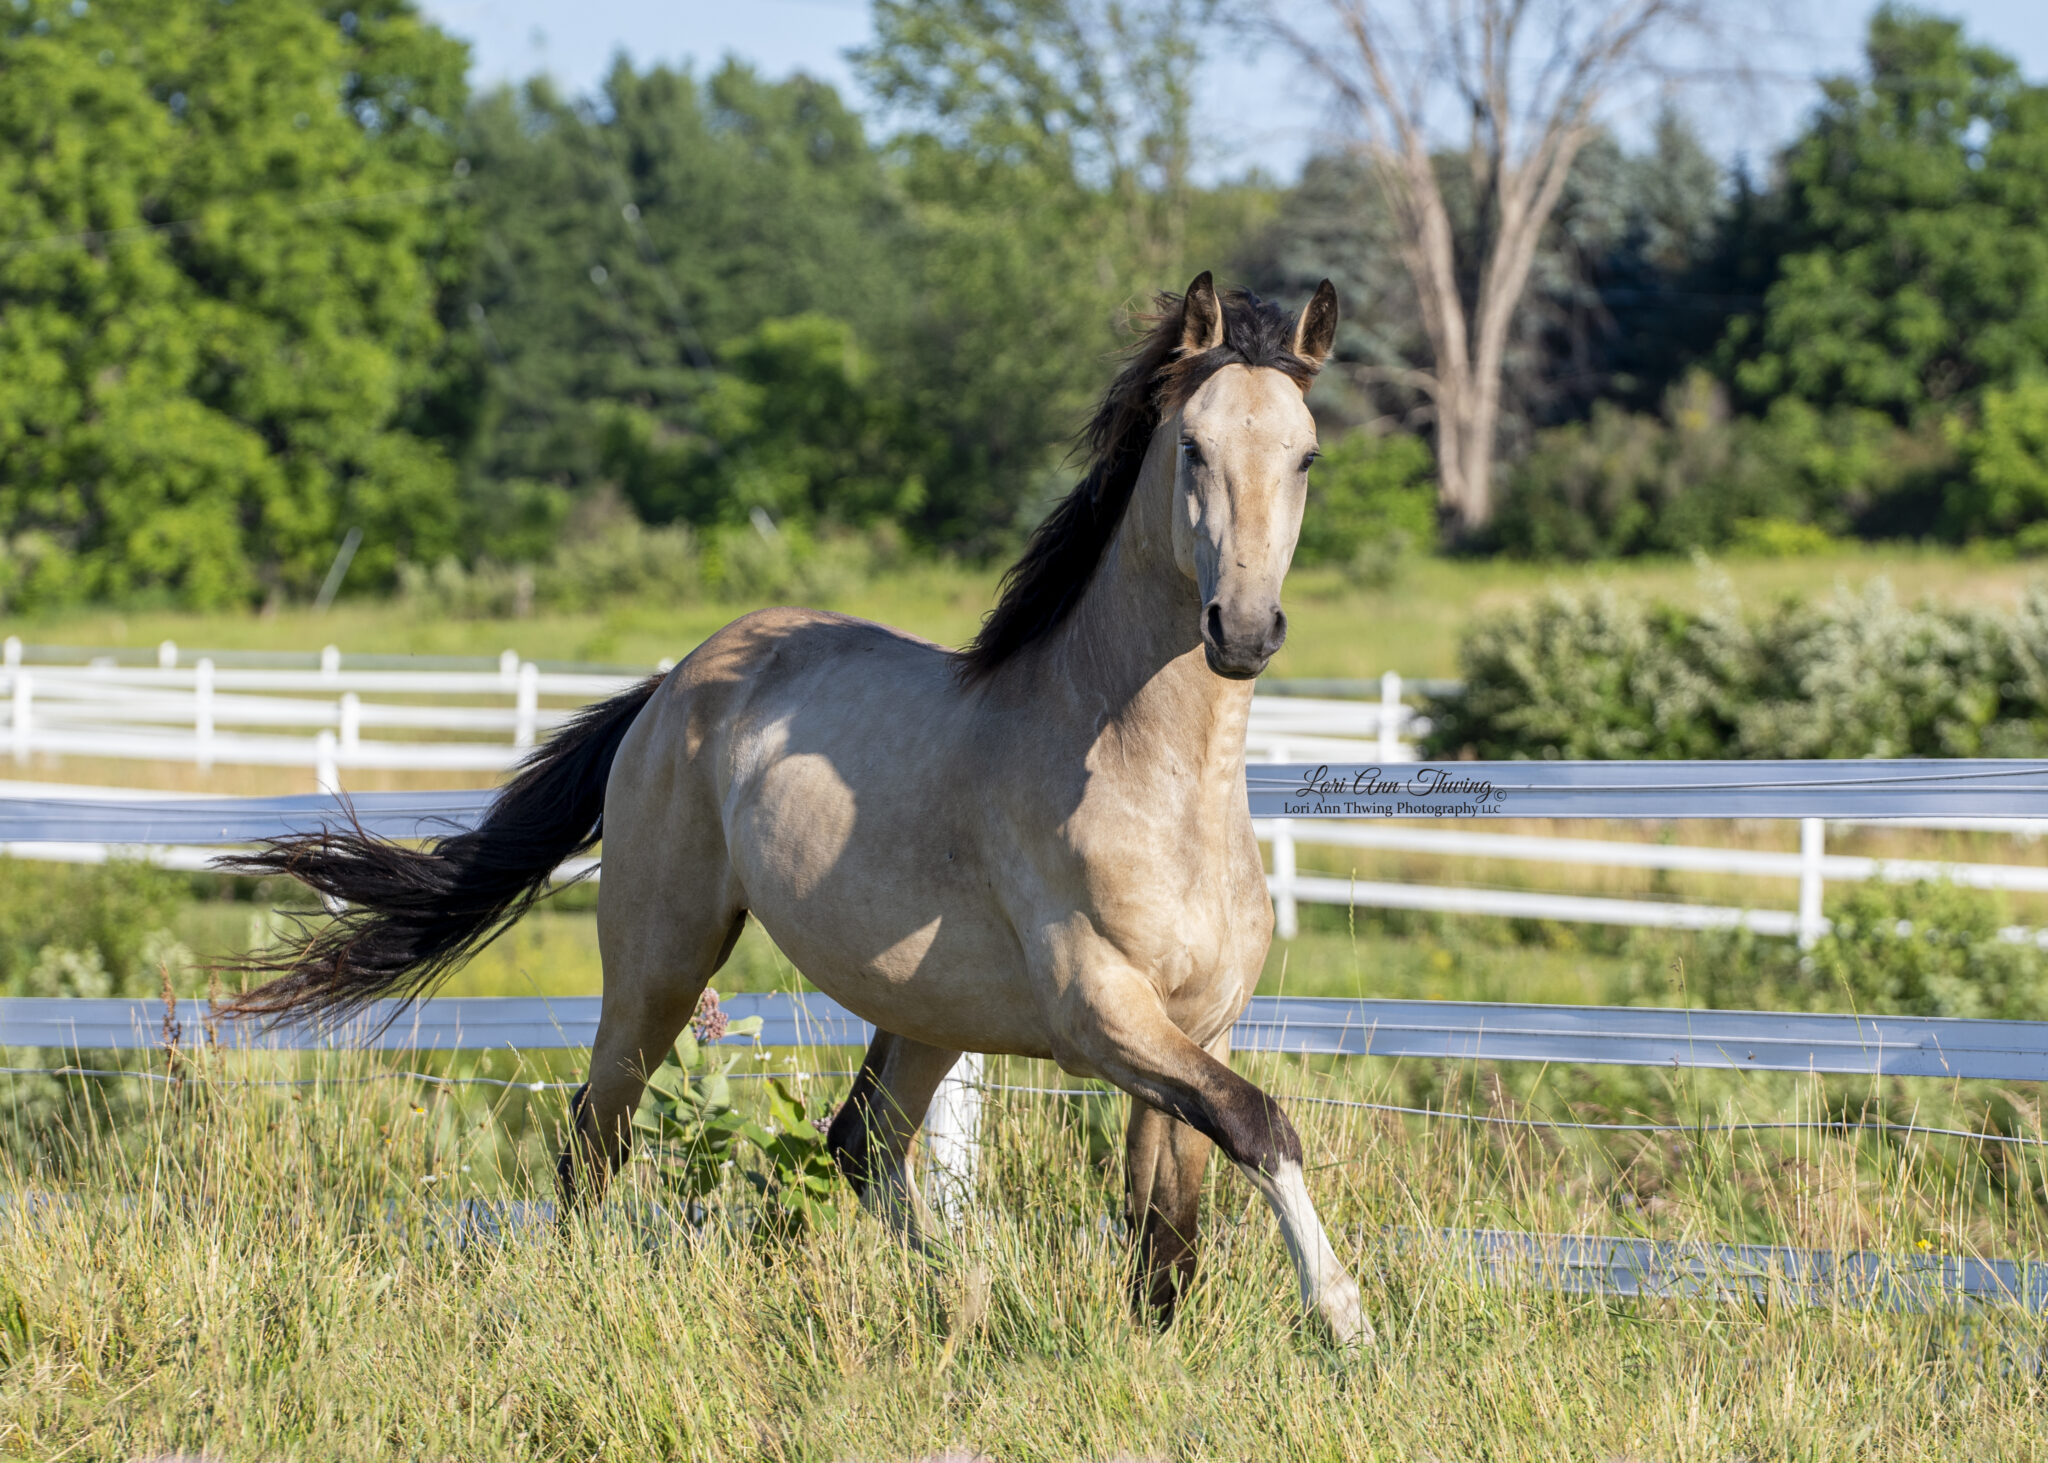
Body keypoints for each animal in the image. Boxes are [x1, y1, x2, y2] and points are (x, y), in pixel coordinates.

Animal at [221, 272, 1371, 1348]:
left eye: (1307, 456)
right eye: (1191, 446)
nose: (1243, 630)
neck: (1150, 785)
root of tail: (675, 683)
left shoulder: (1196, 1025)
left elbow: (1166, 1231)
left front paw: (1173, 1340)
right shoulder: (1101, 1014)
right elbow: (1259, 1125)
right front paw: (1344, 1314)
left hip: (924, 1011)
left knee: (860, 1147)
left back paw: (967, 1295)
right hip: (661, 962)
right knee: (599, 1133)